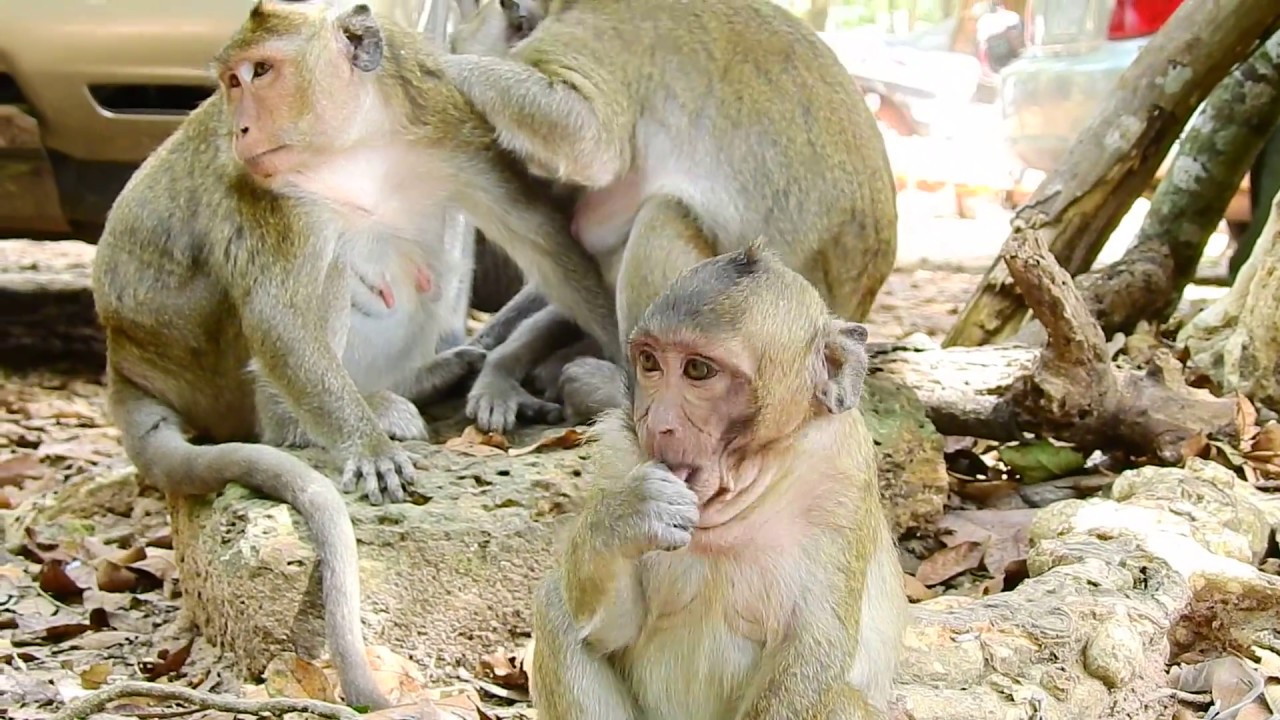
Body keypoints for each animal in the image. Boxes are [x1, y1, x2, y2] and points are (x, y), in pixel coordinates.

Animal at [91, 1, 621, 707]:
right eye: (232, 79)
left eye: (261, 71)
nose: (241, 127)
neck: (360, 141)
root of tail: (122, 362)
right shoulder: (274, 191)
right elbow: (282, 318)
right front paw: (366, 446)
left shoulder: (448, 120)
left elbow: (547, 246)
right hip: (206, 372)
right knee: (332, 267)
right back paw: (317, 422)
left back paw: (433, 373)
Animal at [529, 246, 908, 719]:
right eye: (650, 362)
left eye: (697, 370)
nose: (658, 422)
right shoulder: (621, 454)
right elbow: (609, 629)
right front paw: (625, 515)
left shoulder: (839, 476)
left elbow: (811, 648)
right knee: (556, 610)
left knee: (836, 700)